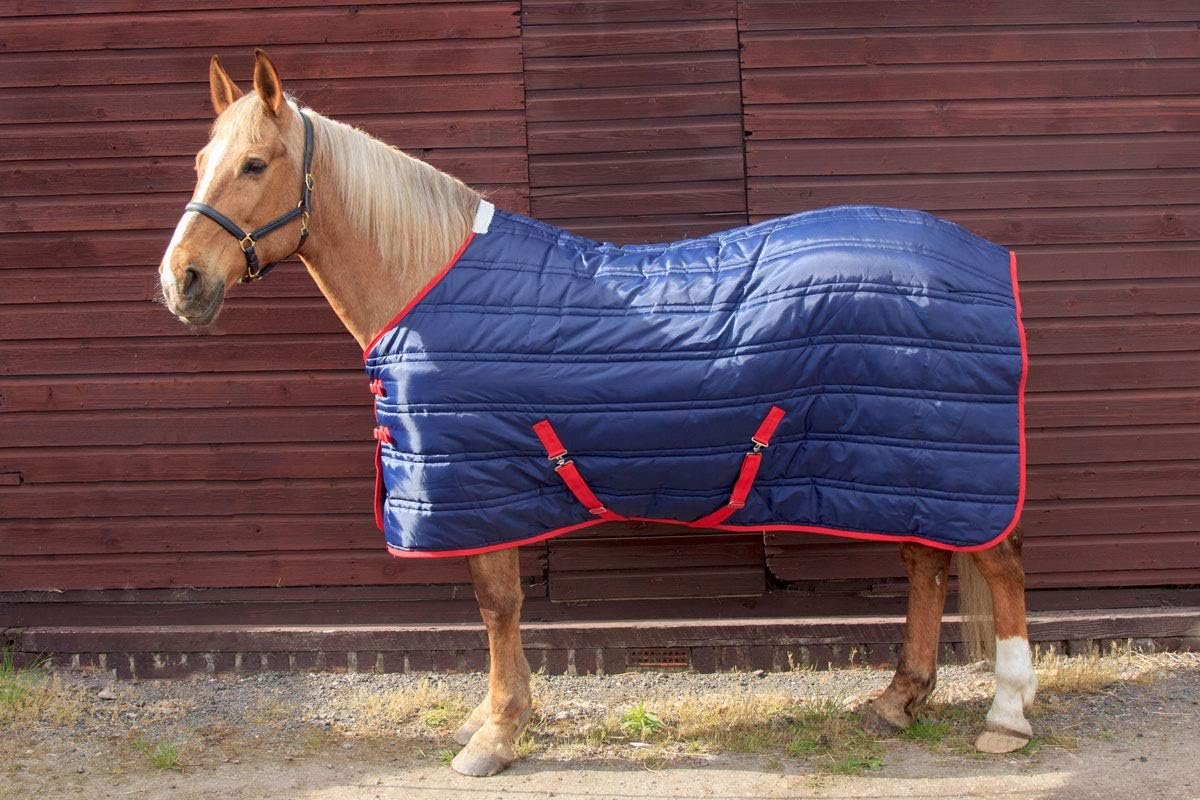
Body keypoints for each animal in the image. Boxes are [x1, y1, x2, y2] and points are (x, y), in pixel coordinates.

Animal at [158, 50, 1037, 777]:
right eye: (200, 162)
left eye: (255, 163)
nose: (181, 282)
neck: (428, 280)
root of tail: (983, 258)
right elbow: (497, 608)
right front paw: (493, 718)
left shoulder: (482, 481)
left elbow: (498, 605)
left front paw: (496, 734)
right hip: (903, 462)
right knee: (926, 563)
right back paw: (899, 698)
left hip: (945, 463)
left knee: (1000, 567)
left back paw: (1006, 717)